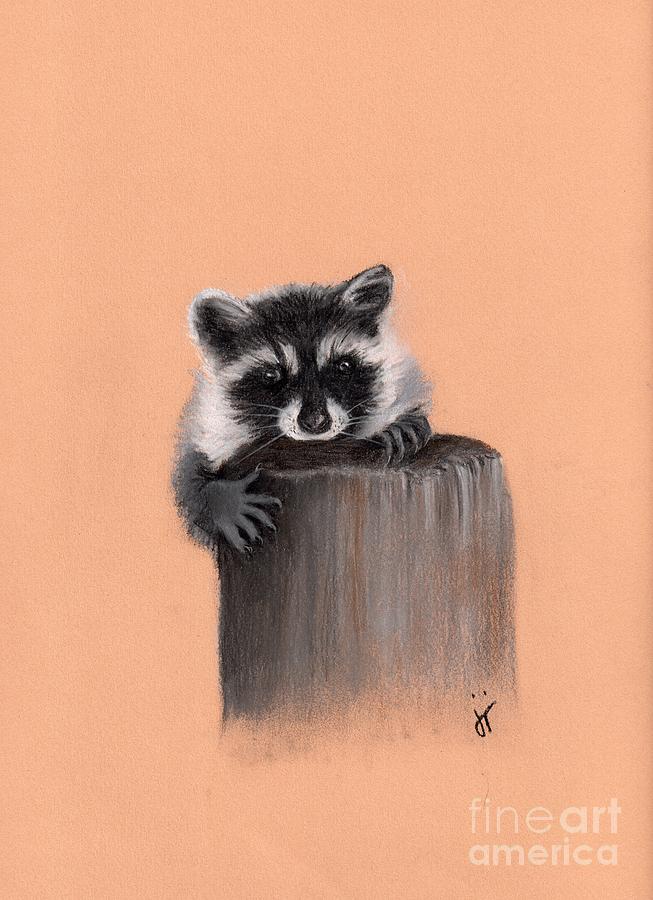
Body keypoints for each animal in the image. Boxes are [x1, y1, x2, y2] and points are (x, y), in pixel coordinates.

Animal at [172, 264, 432, 552]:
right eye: (272, 375)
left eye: (343, 366)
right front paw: (219, 498)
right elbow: (188, 475)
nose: (316, 422)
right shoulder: (211, 425)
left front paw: (393, 424)